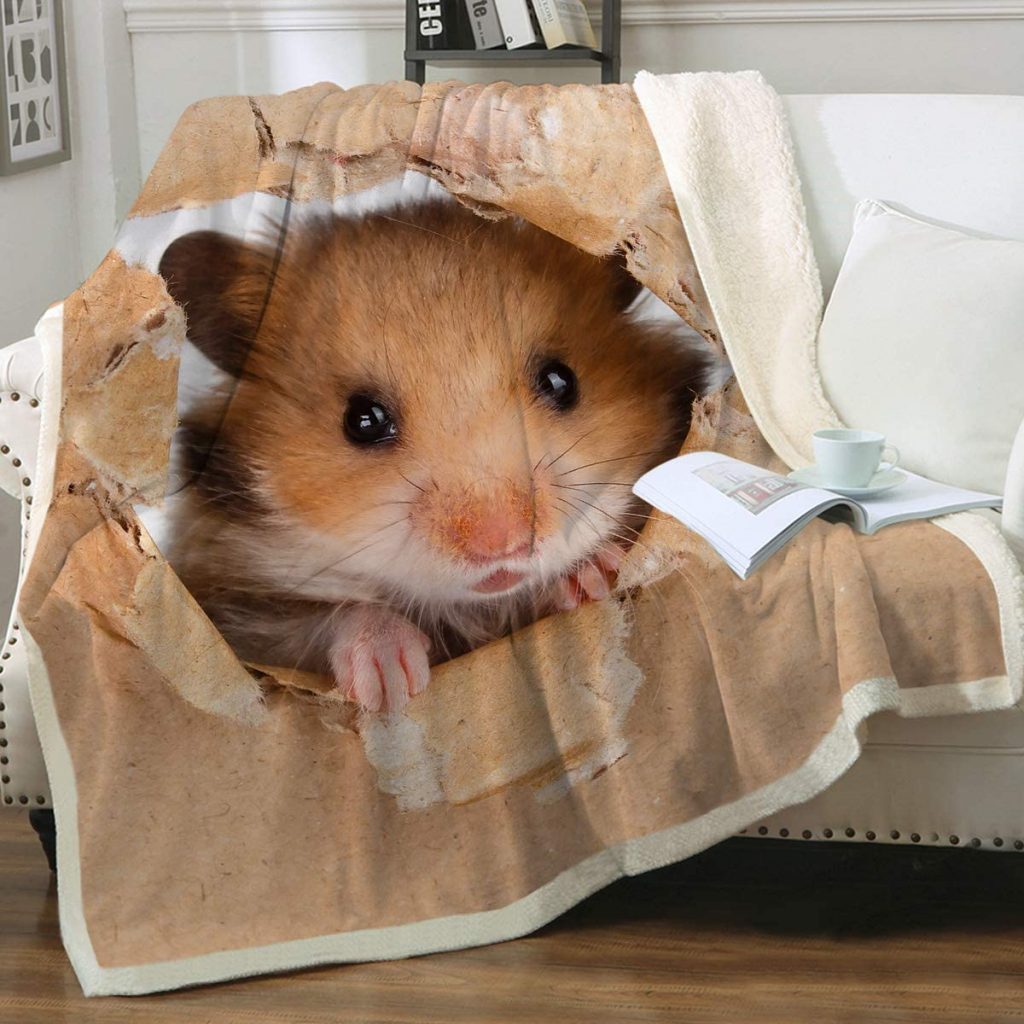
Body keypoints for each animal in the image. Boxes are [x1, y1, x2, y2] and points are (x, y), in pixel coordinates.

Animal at [158, 199, 708, 713]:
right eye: (361, 420)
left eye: (560, 381)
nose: (503, 547)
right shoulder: (237, 617)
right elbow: (331, 617)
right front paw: (391, 684)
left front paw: (592, 575)